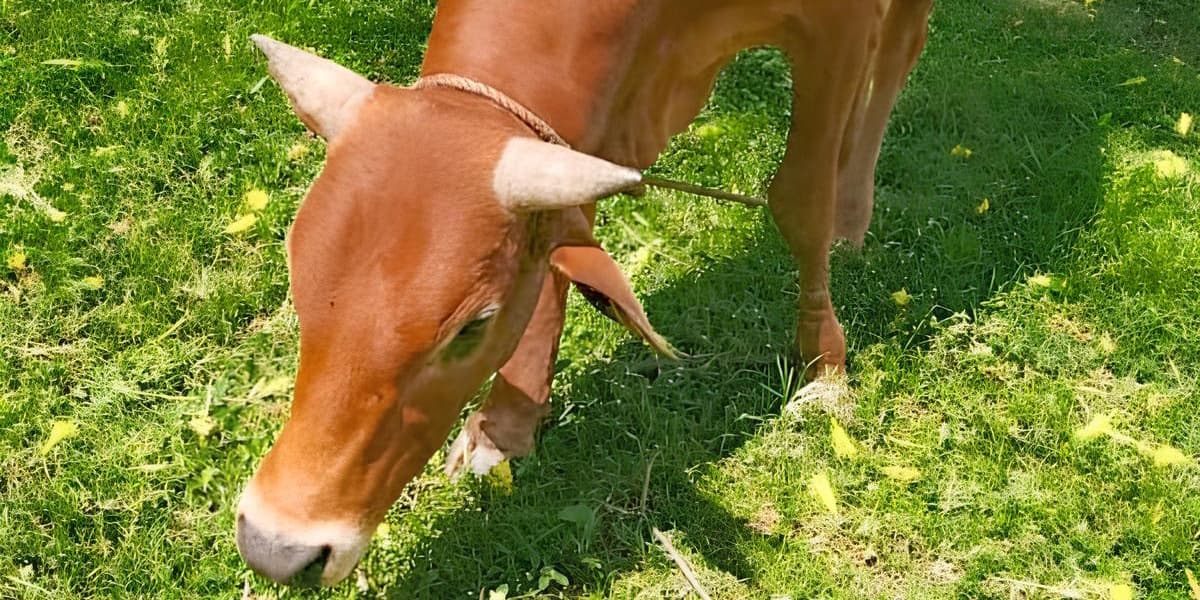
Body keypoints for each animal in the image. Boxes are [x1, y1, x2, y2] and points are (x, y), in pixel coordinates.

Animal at [235, 0, 933, 586]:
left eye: (471, 327)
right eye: (301, 289)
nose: (275, 550)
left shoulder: (836, 27)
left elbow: (799, 200)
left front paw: (824, 363)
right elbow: (563, 247)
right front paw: (506, 424)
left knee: (902, 48)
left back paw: (853, 213)